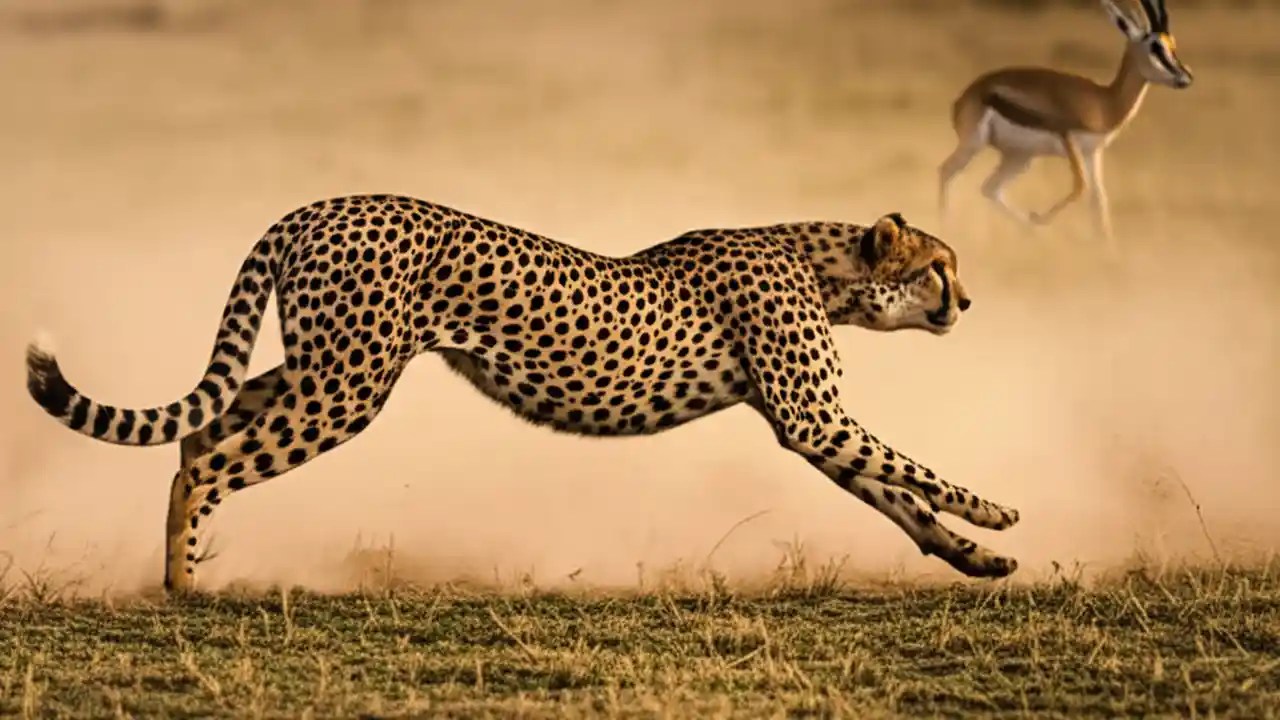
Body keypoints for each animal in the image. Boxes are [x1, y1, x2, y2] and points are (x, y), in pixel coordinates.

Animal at [24, 194, 1020, 592]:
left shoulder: (809, 426)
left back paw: (188, 559)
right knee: (205, 462)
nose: (970, 302)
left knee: (204, 429)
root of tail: (319, 204)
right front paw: (1003, 513)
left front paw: (979, 559)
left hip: (325, 363)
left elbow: (898, 497)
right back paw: (185, 586)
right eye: (939, 268)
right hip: (349, 384)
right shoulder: (814, 416)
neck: (821, 263)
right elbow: (914, 468)